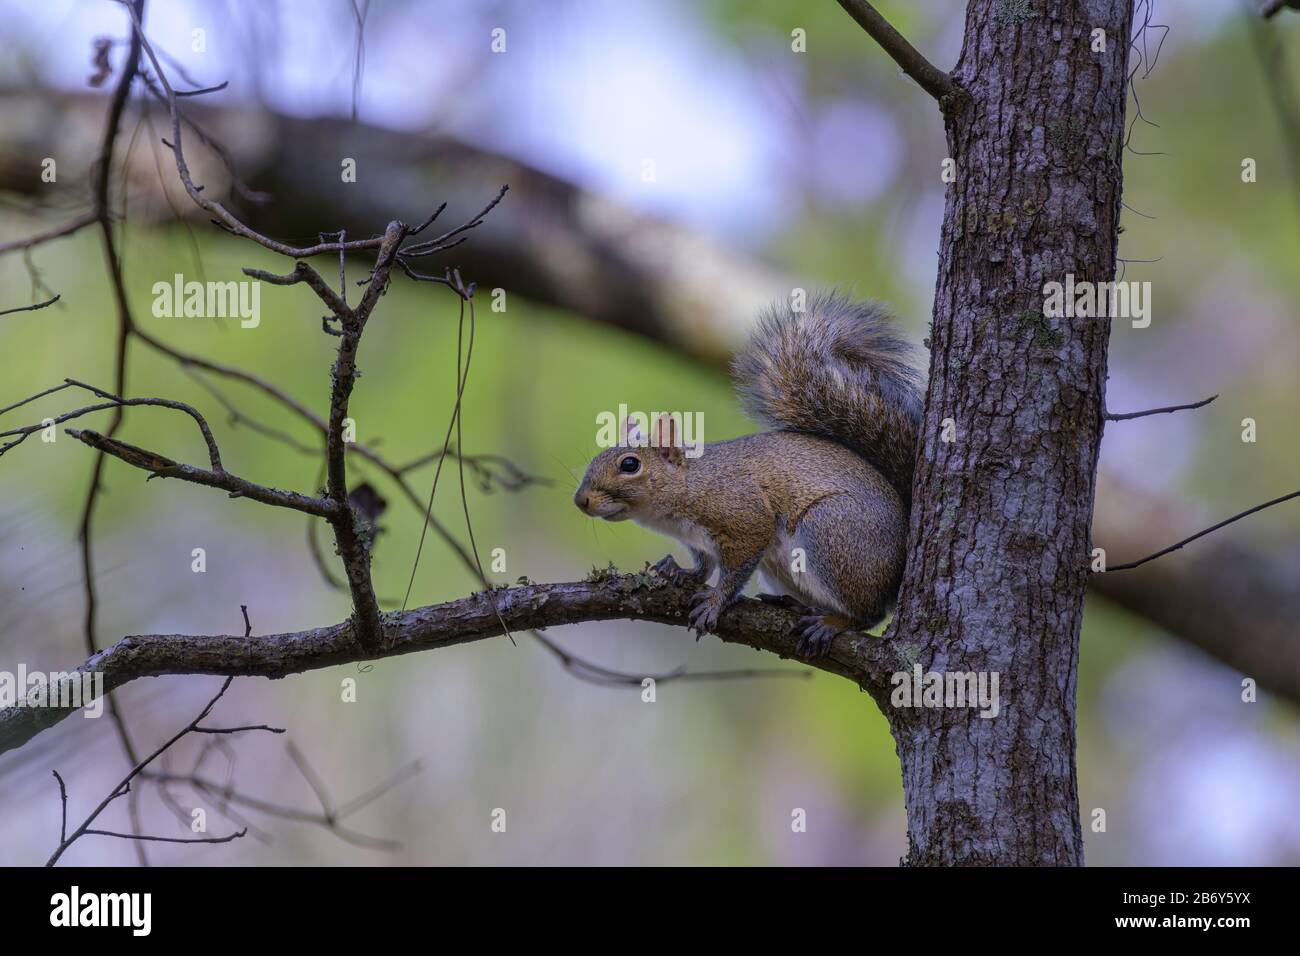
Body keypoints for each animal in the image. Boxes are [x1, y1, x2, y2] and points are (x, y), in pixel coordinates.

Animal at [573, 291, 923, 656]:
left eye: (630, 465)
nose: (580, 500)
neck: (686, 490)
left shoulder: (744, 518)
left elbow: (735, 568)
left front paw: (715, 602)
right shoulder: (698, 541)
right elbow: (704, 565)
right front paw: (682, 572)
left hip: (830, 532)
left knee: (869, 612)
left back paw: (832, 622)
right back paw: (797, 605)